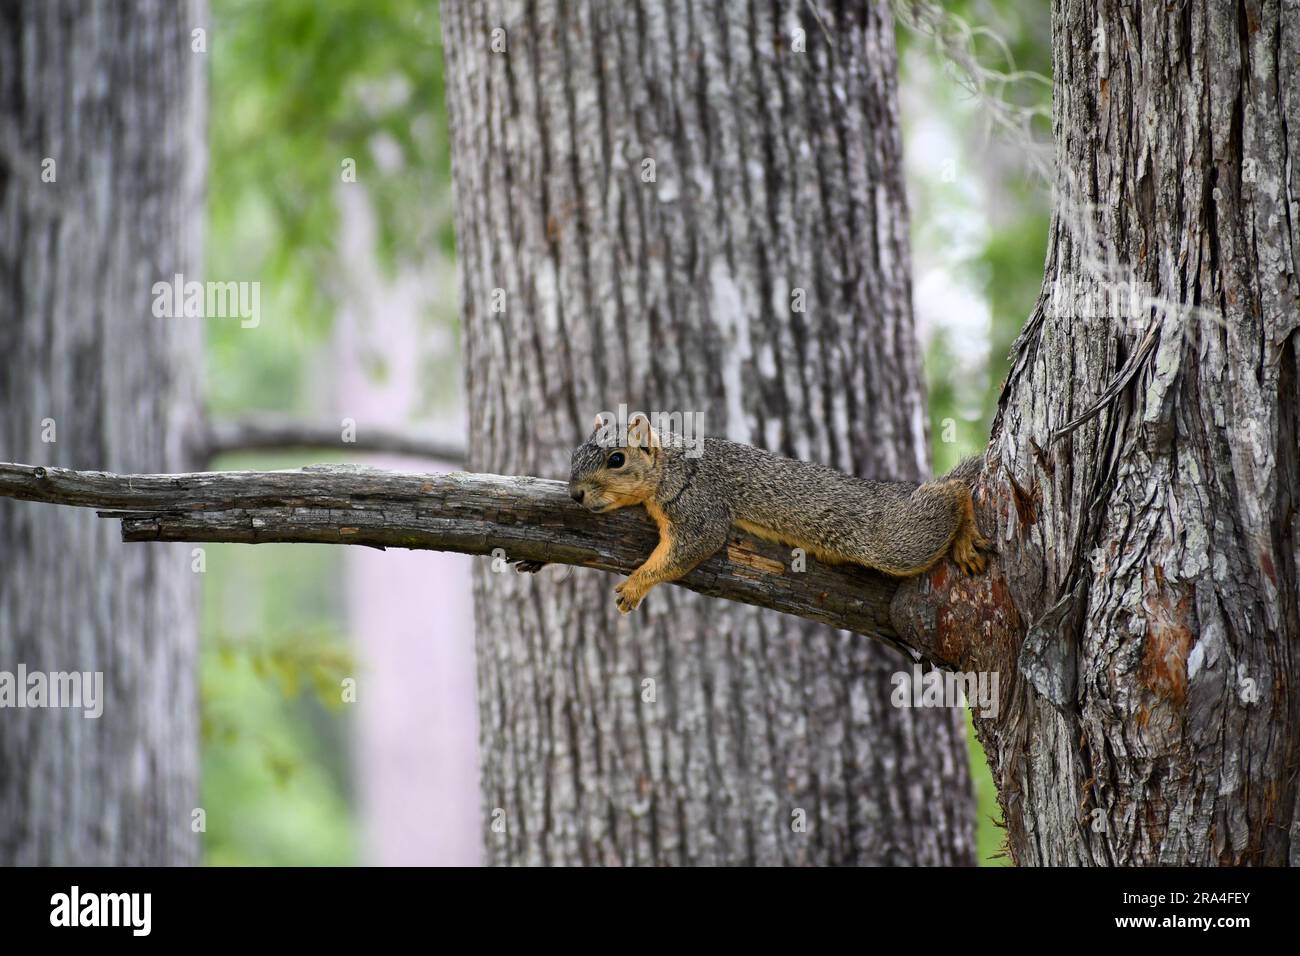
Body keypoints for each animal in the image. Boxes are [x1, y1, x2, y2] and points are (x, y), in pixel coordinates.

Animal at [529, 414, 988, 614]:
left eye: (617, 459)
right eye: (574, 454)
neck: (672, 465)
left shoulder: (701, 506)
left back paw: (965, 519)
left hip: (887, 539)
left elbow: (690, 547)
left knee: (947, 497)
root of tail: (898, 492)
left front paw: (636, 585)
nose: (575, 494)